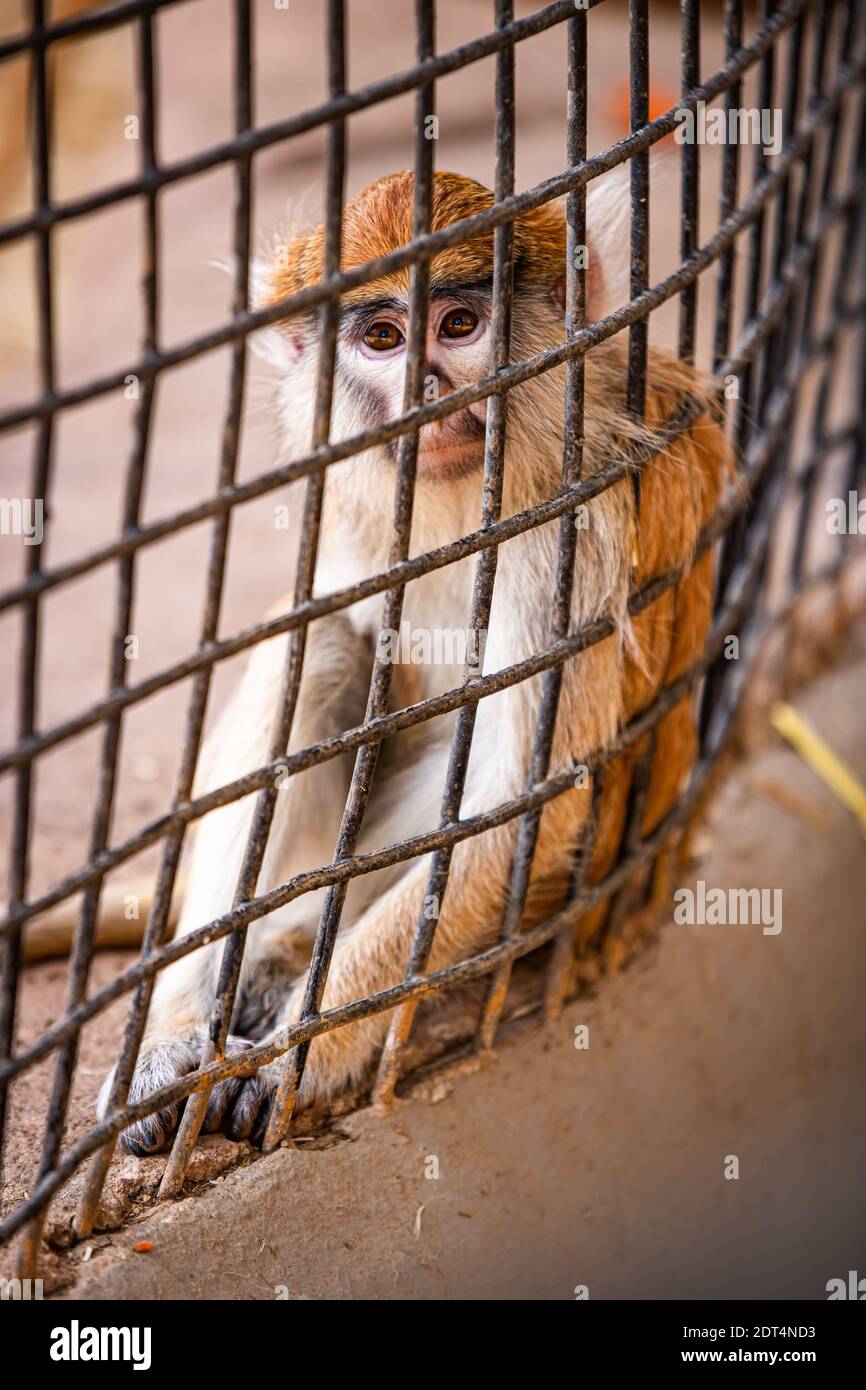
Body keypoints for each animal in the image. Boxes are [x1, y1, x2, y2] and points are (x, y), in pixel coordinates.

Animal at [85, 169, 729, 1154]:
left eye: (457, 326)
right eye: (383, 339)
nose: (424, 387)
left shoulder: (570, 522)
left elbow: (524, 799)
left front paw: (300, 1054)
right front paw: (171, 1038)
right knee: (323, 647)